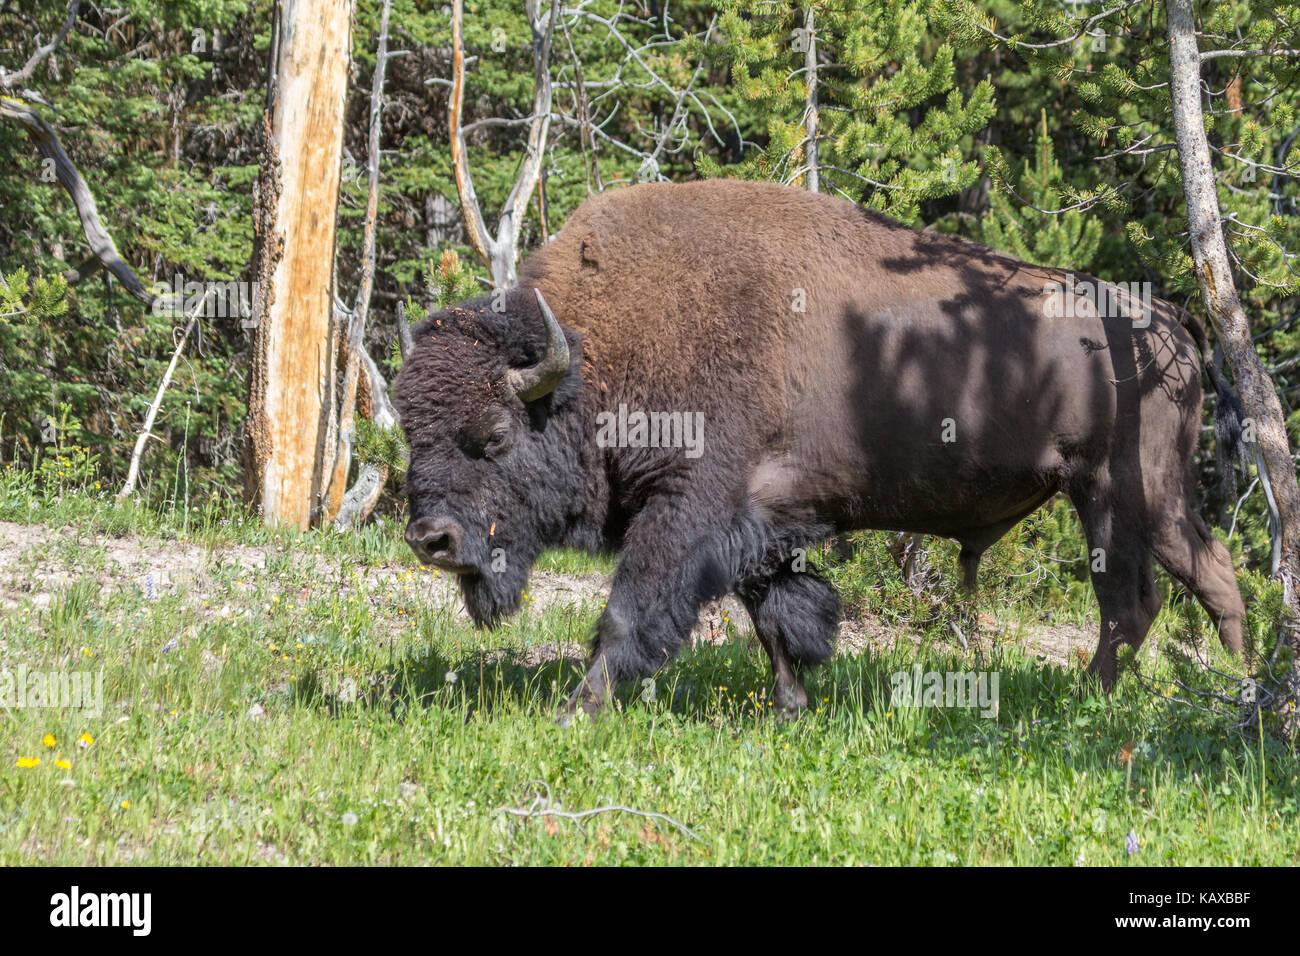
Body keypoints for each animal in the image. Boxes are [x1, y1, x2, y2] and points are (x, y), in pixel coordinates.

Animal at [394, 179, 1246, 717]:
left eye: (494, 434)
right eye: (409, 429)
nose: (431, 539)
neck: (598, 355)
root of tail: (1169, 324)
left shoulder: (688, 514)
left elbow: (627, 615)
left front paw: (576, 711)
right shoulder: (761, 522)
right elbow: (777, 618)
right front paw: (793, 708)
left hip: (1124, 492)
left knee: (1161, 592)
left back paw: (1129, 696)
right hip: (1119, 499)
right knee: (1176, 587)